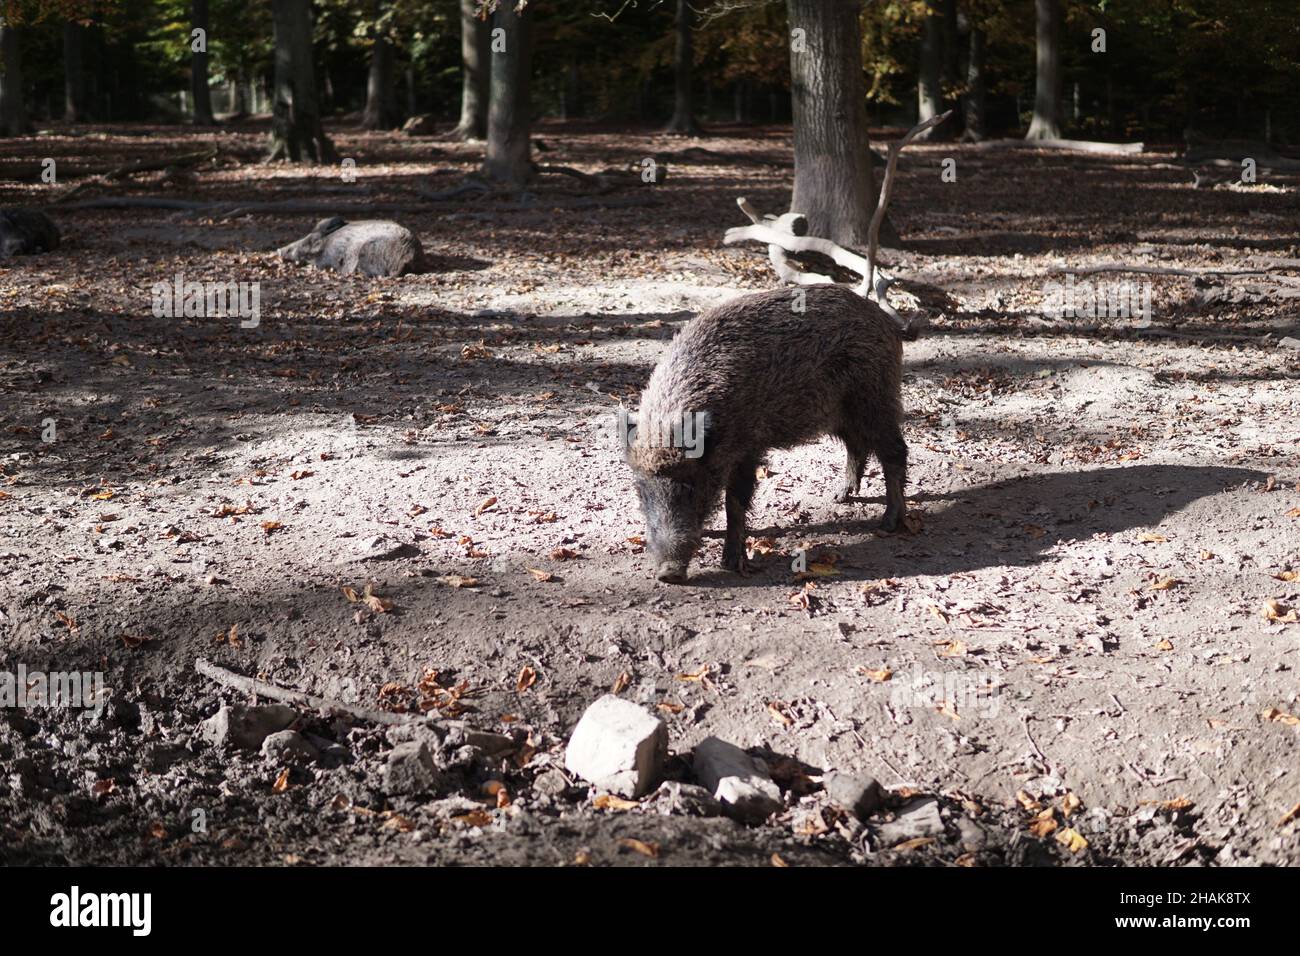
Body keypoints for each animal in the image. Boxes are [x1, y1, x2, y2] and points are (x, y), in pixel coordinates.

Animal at [626, 284, 911, 584]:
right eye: (642, 490)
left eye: (692, 487)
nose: (669, 573)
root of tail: (887, 323)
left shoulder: (747, 448)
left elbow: (735, 502)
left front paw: (731, 563)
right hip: (842, 413)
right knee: (857, 446)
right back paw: (840, 497)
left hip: (875, 398)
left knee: (895, 451)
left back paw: (888, 523)